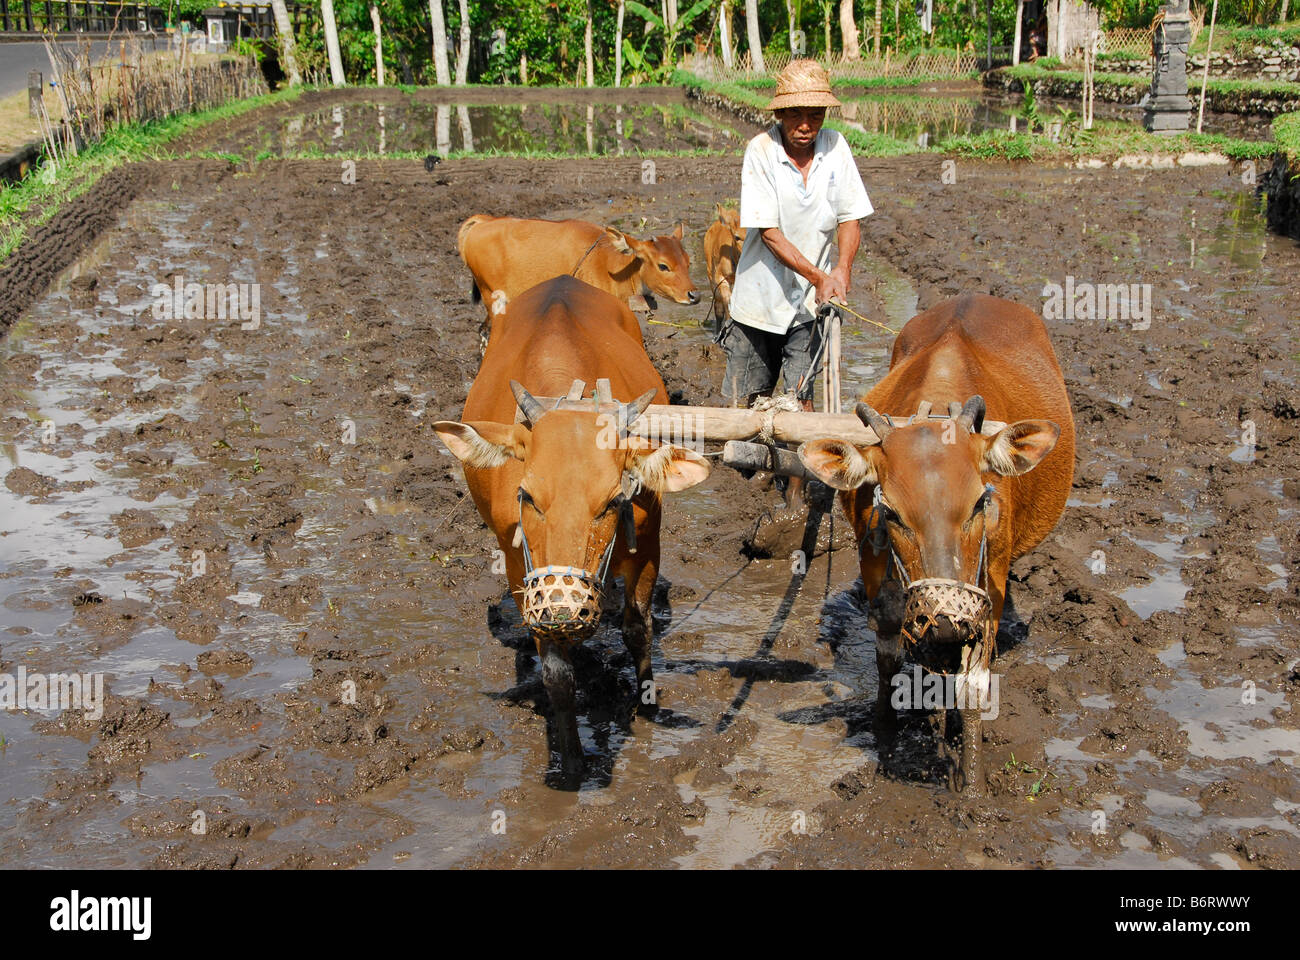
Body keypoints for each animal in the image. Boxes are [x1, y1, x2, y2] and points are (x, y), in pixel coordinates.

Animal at [433, 276, 710, 783]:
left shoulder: (649, 548)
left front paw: (647, 706)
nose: (564, 609)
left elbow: (638, 629)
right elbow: (557, 672)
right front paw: (573, 761)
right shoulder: (519, 568)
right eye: (526, 496)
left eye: (614, 501)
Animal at [457, 215, 700, 351]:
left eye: (688, 261)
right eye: (663, 266)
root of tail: (483, 222)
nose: (694, 295)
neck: (608, 263)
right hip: (493, 297)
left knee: (482, 331)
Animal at [796, 292, 1075, 793]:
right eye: (891, 513)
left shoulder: (989, 587)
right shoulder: (879, 573)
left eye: (980, 503)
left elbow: (974, 683)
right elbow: (889, 654)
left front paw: (972, 784)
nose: (946, 624)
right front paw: (887, 731)